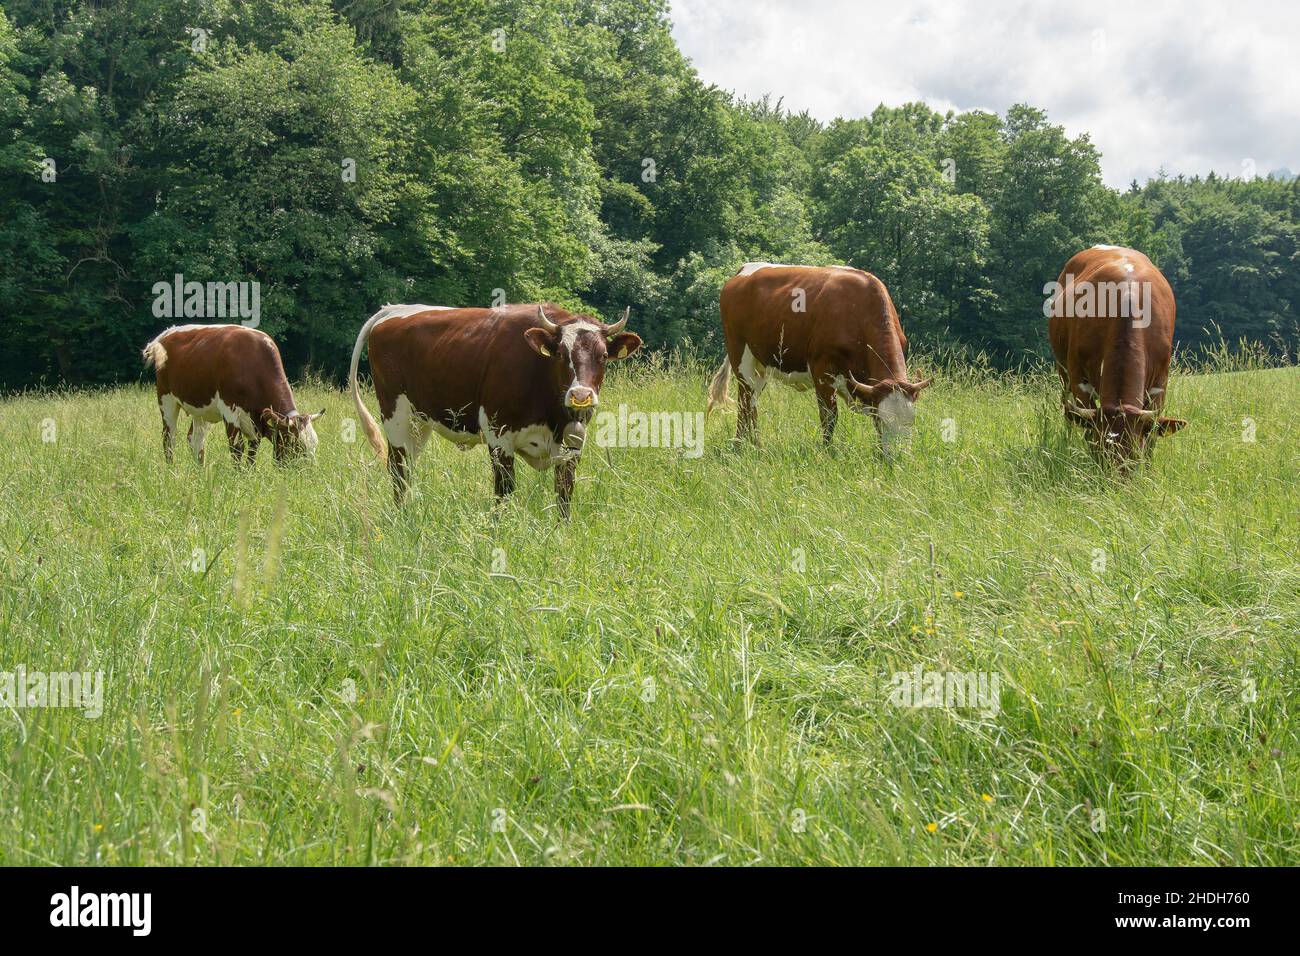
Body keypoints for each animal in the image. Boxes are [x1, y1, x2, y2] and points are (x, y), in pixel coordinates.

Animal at [142, 324, 324, 465]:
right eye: (296, 446)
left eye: (315, 445)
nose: (309, 475)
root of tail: (167, 333)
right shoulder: (230, 410)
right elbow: (237, 447)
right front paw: (238, 477)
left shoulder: (256, 420)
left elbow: (253, 448)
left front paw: (249, 474)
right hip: (166, 399)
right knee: (169, 437)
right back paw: (171, 470)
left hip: (201, 409)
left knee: (196, 439)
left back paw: (200, 473)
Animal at [349, 303, 642, 514]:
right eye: (560, 354)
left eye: (602, 356)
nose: (581, 395)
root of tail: (394, 309)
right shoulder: (499, 434)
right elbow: (504, 490)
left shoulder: (573, 443)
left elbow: (564, 492)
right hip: (396, 415)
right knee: (398, 470)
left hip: (418, 422)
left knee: (408, 467)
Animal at [706, 263, 931, 451]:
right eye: (882, 420)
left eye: (911, 421)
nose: (900, 456)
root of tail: (744, 270)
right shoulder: (822, 371)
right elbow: (829, 417)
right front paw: (828, 452)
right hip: (741, 358)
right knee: (744, 404)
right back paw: (740, 447)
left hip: (761, 365)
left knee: (752, 405)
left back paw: (756, 445)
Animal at [1047, 245, 1186, 467]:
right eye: (1101, 453)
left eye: (1134, 454)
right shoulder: (1078, 377)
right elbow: (1087, 429)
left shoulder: (1160, 382)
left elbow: (1152, 435)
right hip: (1063, 374)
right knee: (1068, 413)